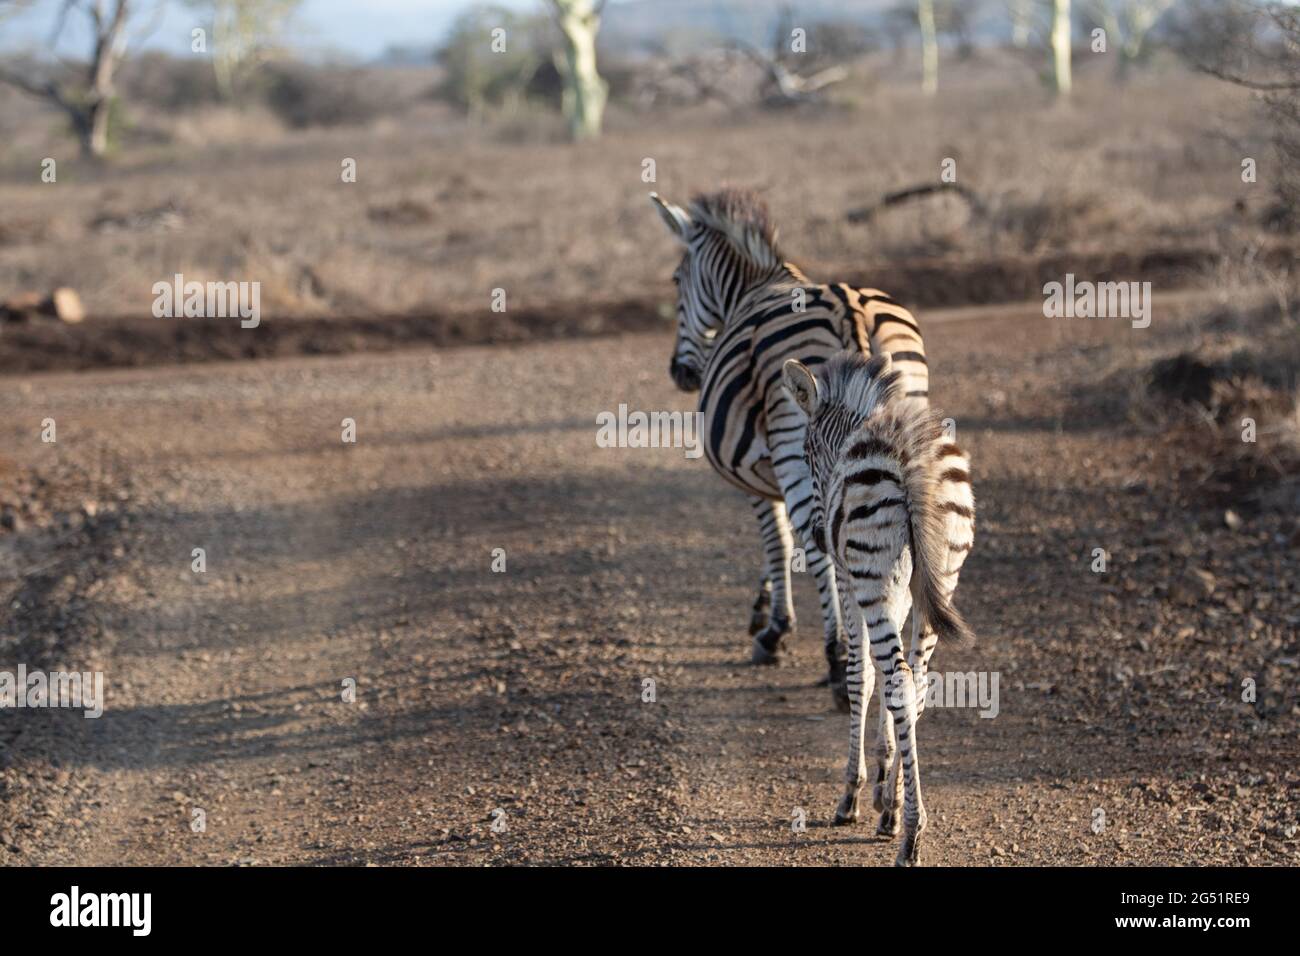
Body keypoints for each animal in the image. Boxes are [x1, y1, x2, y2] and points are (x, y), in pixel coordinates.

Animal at [650, 188, 929, 710]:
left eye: (677, 281)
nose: (680, 373)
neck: (755, 286)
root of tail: (848, 306)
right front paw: (763, 610)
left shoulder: (759, 469)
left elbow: (777, 539)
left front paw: (774, 628)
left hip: (794, 446)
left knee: (819, 549)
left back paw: (837, 660)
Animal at [781, 351, 974, 866]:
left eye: (806, 454)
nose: (816, 534)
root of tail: (912, 456)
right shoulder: (904, 590)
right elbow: (888, 684)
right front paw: (886, 788)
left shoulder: (850, 579)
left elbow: (860, 675)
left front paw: (852, 794)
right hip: (939, 579)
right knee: (916, 682)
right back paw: (896, 811)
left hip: (870, 576)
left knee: (899, 681)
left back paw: (910, 836)